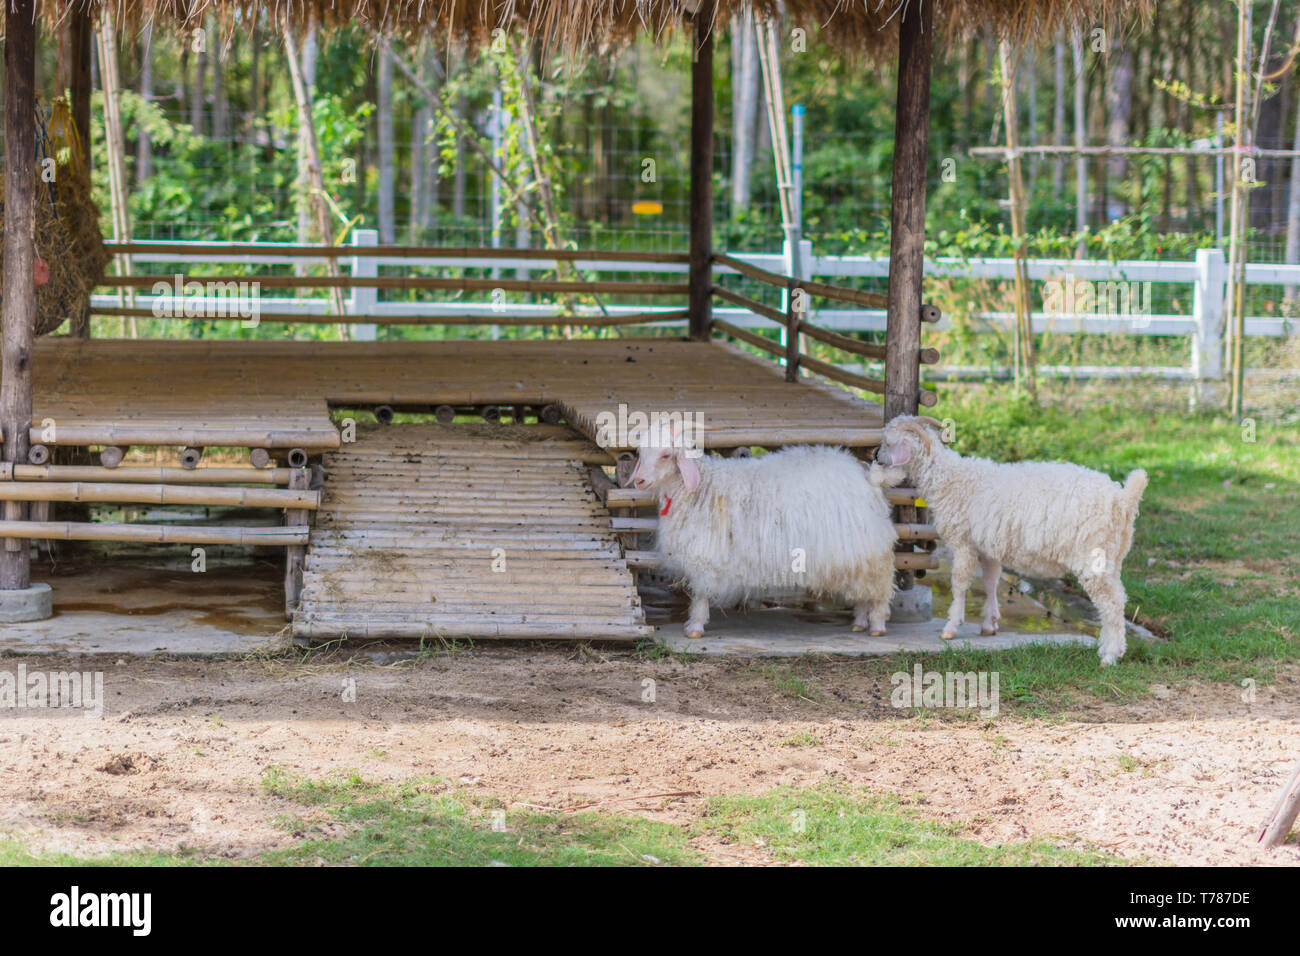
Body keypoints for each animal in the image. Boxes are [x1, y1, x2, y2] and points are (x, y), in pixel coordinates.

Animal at [628, 423, 898, 638]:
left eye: (666, 455)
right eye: (641, 453)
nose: (639, 480)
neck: (701, 488)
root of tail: (867, 477)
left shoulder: (705, 557)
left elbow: (701, 593)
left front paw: (694, 626)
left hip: (869, 553)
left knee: (879, 590)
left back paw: (876, 625)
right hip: (857, 557)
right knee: (864, 593)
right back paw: (860, 622)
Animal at [875, 415, 1147, 665]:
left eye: (888, 443)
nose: (876, 456)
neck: (949, 479)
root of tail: (1122, 499)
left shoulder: (963, 543)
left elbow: (960, 584)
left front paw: (952, 626)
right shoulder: (988, 548)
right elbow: (990, 582)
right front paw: (990, 624)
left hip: (1094, 557)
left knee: (1111, 604)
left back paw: (1110, 656)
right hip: (1112, 556)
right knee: (1118, 598)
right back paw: (1112, 649)